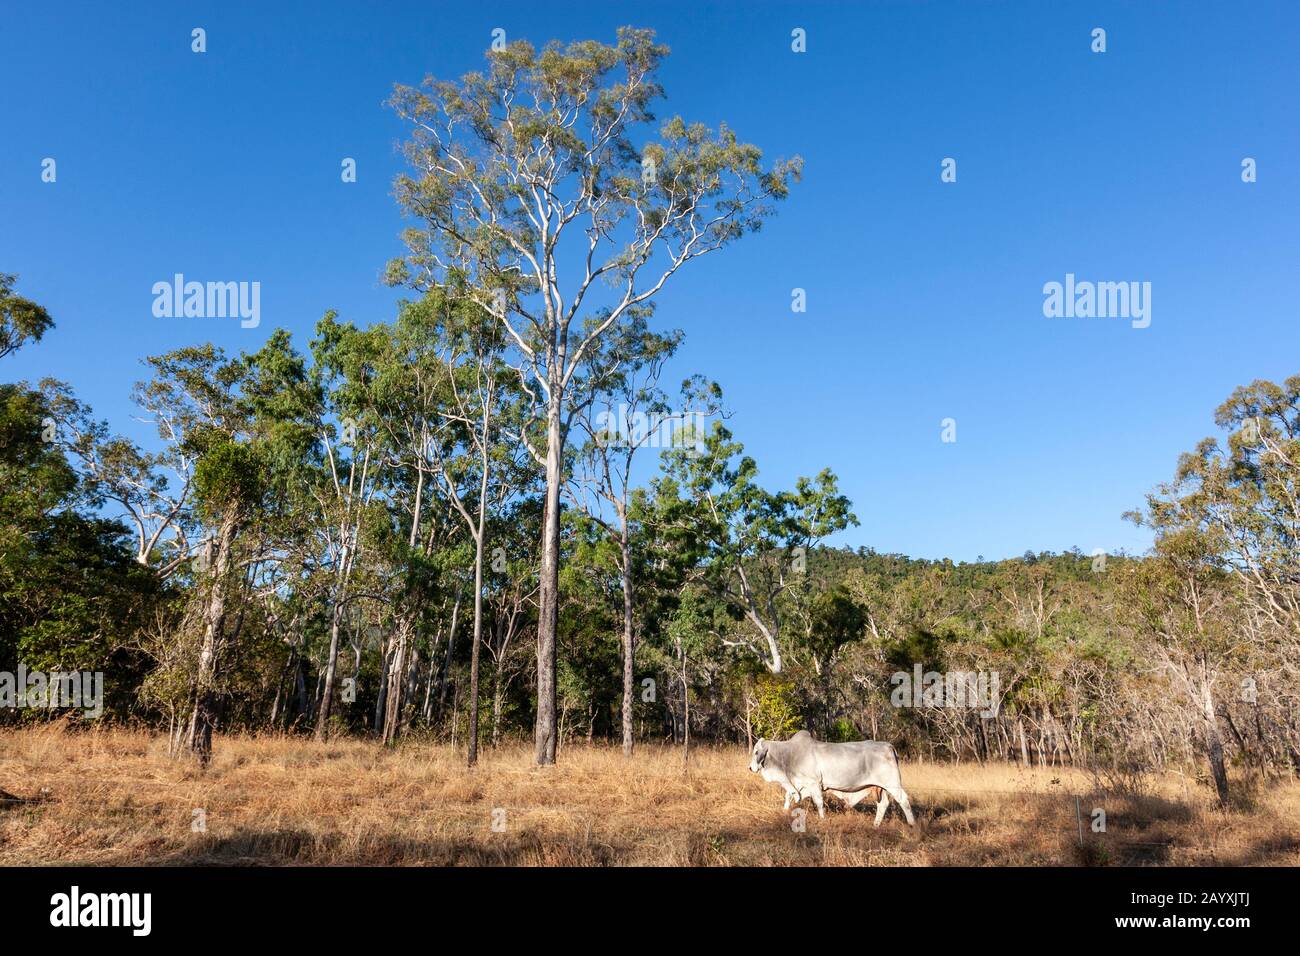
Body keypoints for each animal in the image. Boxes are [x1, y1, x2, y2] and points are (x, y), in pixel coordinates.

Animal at [749, 730, 916, 826]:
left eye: (756, 751)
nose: (750, 768)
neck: (789, 755)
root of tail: (888, 746)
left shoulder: (814, 783)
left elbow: (819, 803)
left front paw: (822, 819)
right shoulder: (798, 785)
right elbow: (788, 797)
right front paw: (784, 812)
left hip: (893, 784)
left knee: (904, 800)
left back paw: (912, 825)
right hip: (880, 787)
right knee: (883, 804)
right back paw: (876, 825)